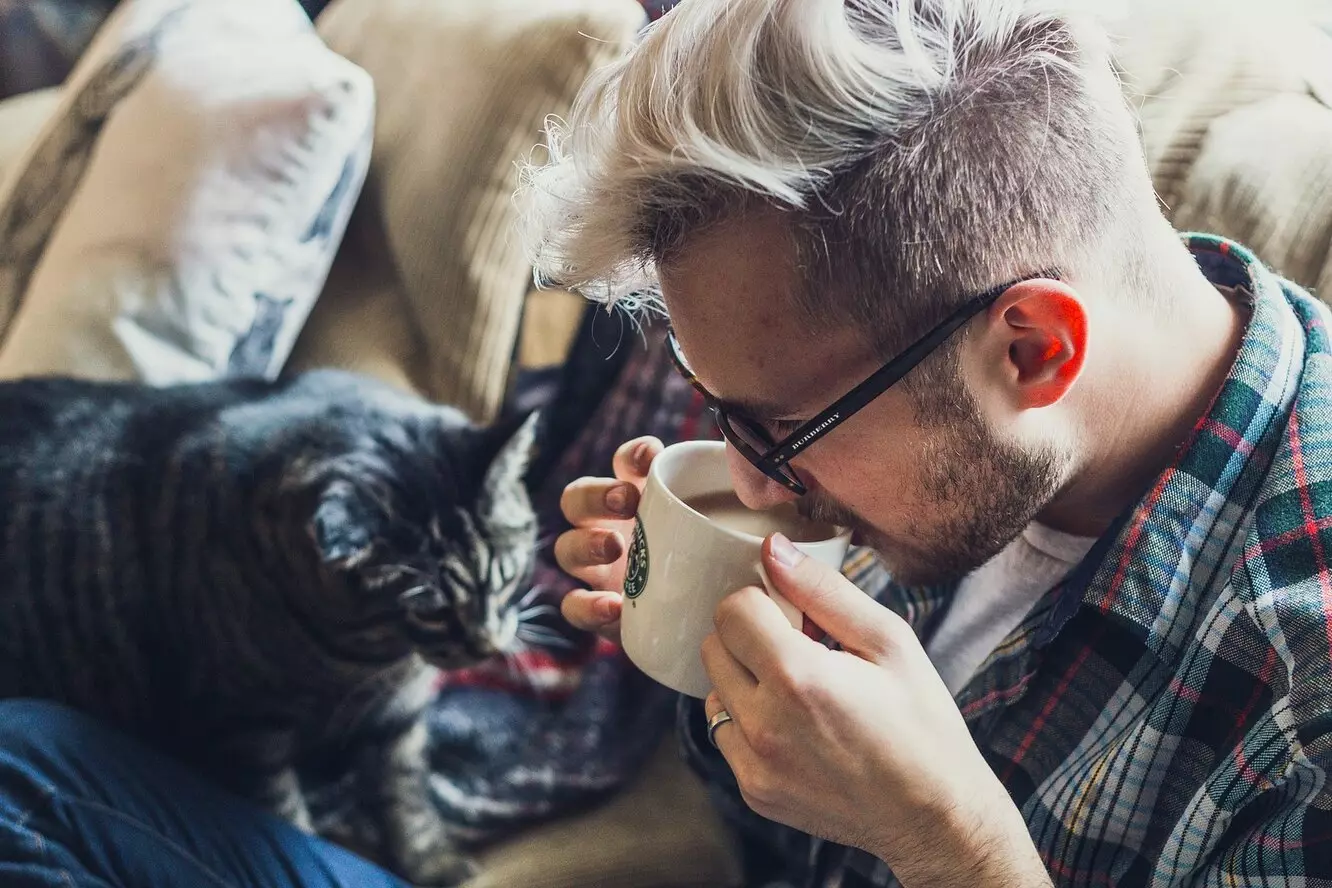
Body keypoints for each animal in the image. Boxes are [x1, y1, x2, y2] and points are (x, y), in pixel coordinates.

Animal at [1, 367, 540, 884]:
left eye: (508, 575)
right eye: (429, 611)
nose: (486, 644)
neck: (369, 659)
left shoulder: (399, 717)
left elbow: (405, 797)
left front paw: (433, 863)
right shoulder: (246, 731)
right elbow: (285, 818)